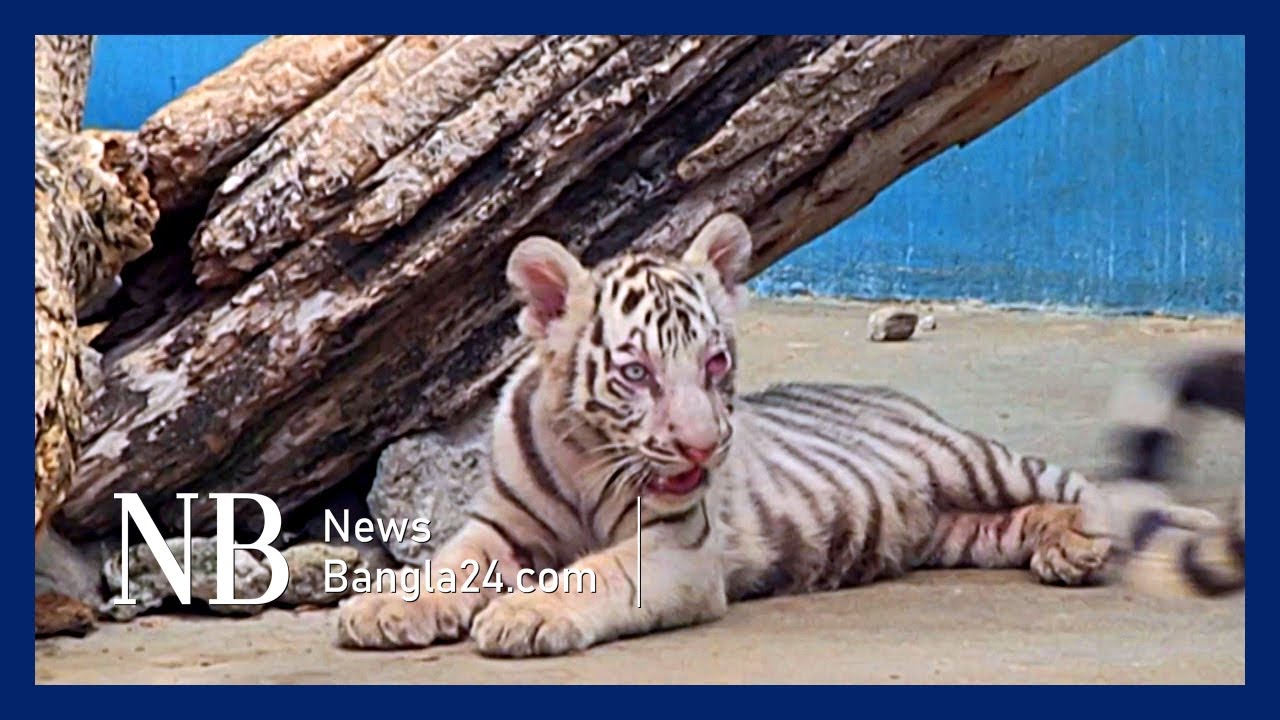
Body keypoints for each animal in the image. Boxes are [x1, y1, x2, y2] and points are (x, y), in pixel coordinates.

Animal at [337, 213, 1149, 656]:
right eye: (636, 373)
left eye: (716, 361)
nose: (703, 448)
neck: (587, 460)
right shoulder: (500, 525)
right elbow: (450, 564)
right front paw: (385, 606)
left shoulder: (675, 546)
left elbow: (596, 573)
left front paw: (527, 613)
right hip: (957, 532)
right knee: (1020, 518)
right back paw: (1057, 549)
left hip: (971, 459)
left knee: (1085, 487)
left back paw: (1092, 543)